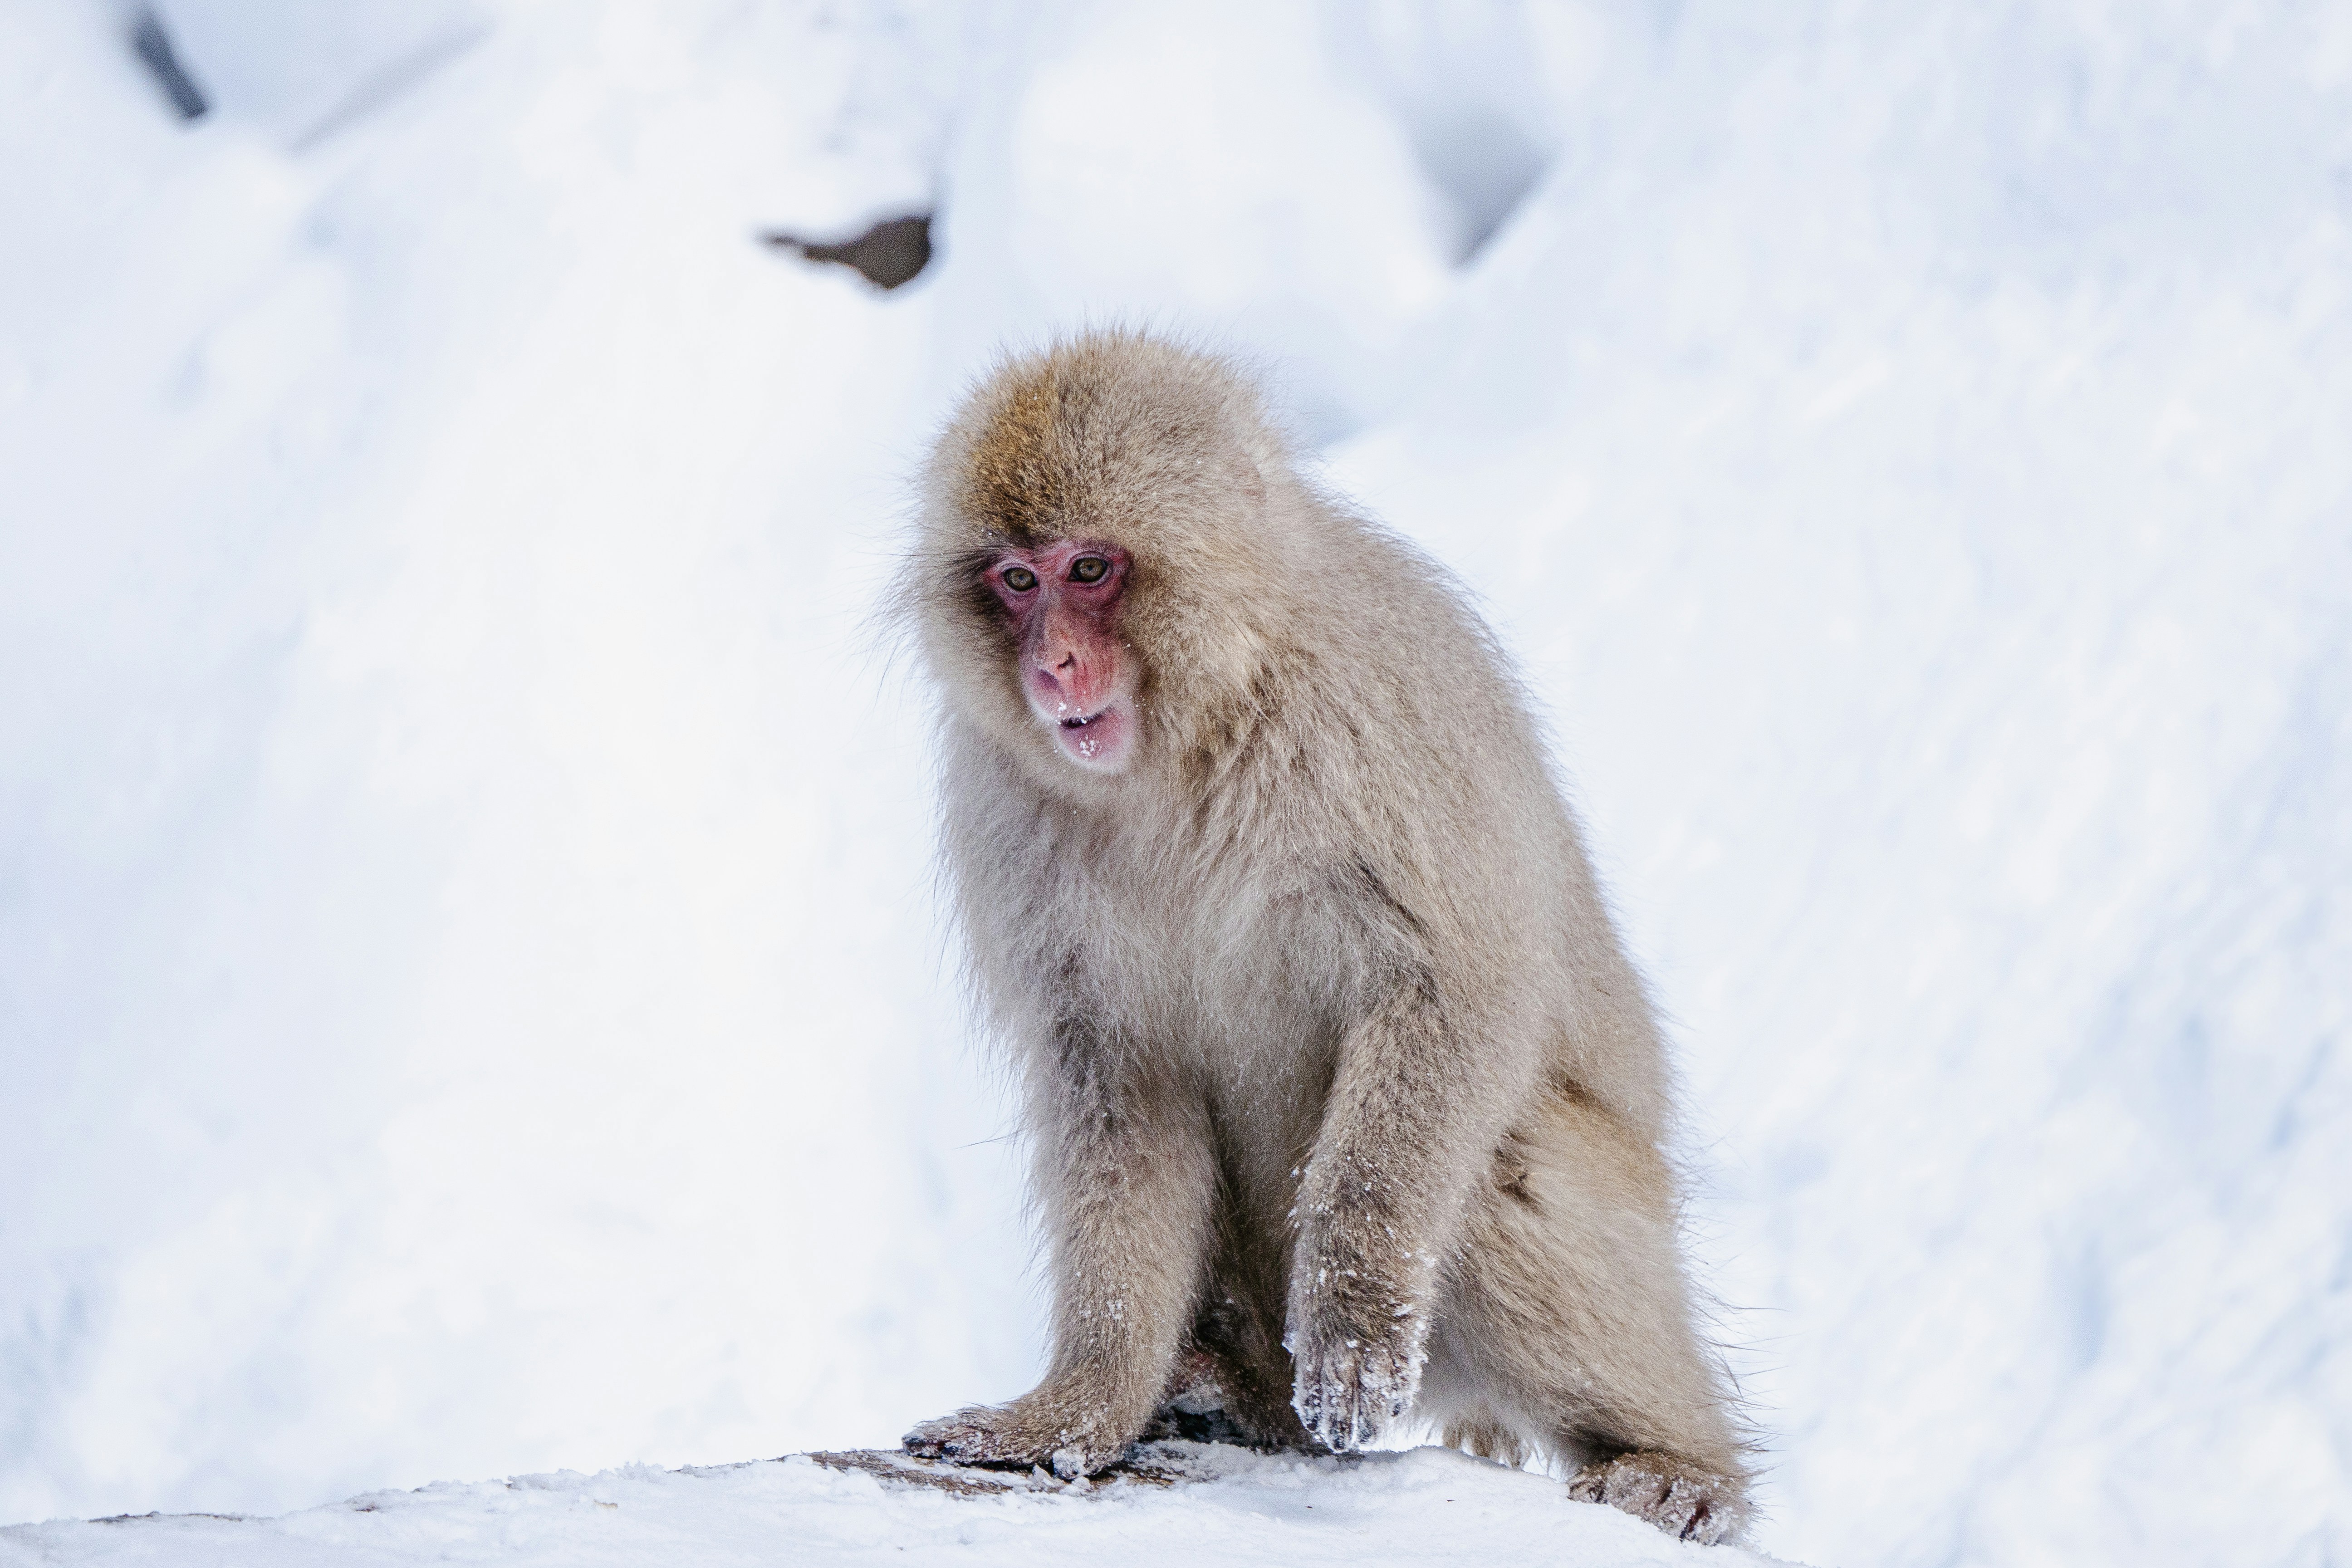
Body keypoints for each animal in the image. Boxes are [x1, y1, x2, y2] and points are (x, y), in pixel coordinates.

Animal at [897, 330, 1752, 1544]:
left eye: (1090, 570)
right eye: (1016, 581)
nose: (1053, 665)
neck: (1195, 739)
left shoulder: (1373, 718)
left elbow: (1451, 991)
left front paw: (1352, 1309)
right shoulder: (1008, 809)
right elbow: (1116, 1077)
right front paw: (1082, 1402)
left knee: (1502, 1159)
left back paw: (1676, 1458)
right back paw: (1233, 1389)